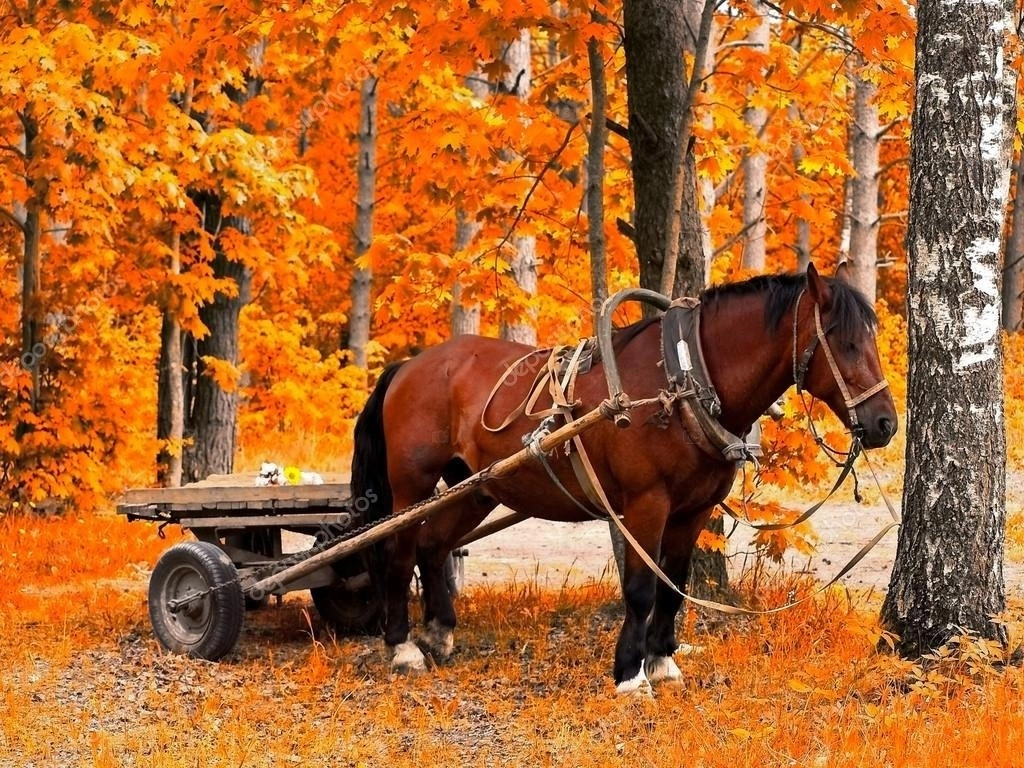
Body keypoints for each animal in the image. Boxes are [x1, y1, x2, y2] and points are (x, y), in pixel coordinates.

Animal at [352, 264, 897, 692]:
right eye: (846, 343)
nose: (885, 424)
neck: (680, 383)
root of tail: (411, 365)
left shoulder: (693, 510)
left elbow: (674, 585)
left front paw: (662, 662)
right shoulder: (645, 504)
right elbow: (640, 588)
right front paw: (630, 675)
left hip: (477, 487)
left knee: (434, 546)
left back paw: (440, 632)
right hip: (412, 484)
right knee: (400, 551)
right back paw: (402, 647)